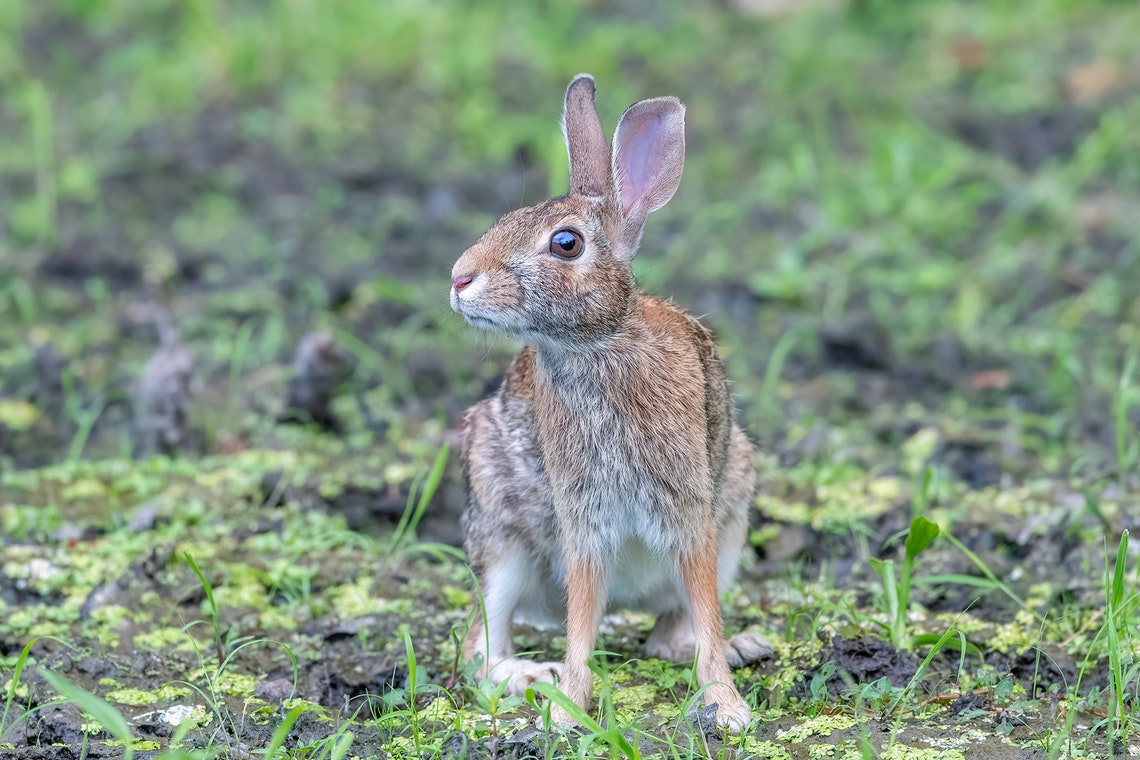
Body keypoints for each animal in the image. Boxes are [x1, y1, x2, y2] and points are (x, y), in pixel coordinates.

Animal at [449, 74, 771, 732]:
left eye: (565, 243)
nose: (459, 279)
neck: (601, 343)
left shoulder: (690, 507)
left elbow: (705, 606)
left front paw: (726, 708)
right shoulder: (584, 516)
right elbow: (580, 622)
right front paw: (569, 709)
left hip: (734, 505)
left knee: (670, 634)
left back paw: (742, 645)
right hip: (499, 535)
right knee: (479, 649)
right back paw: (532, 676)